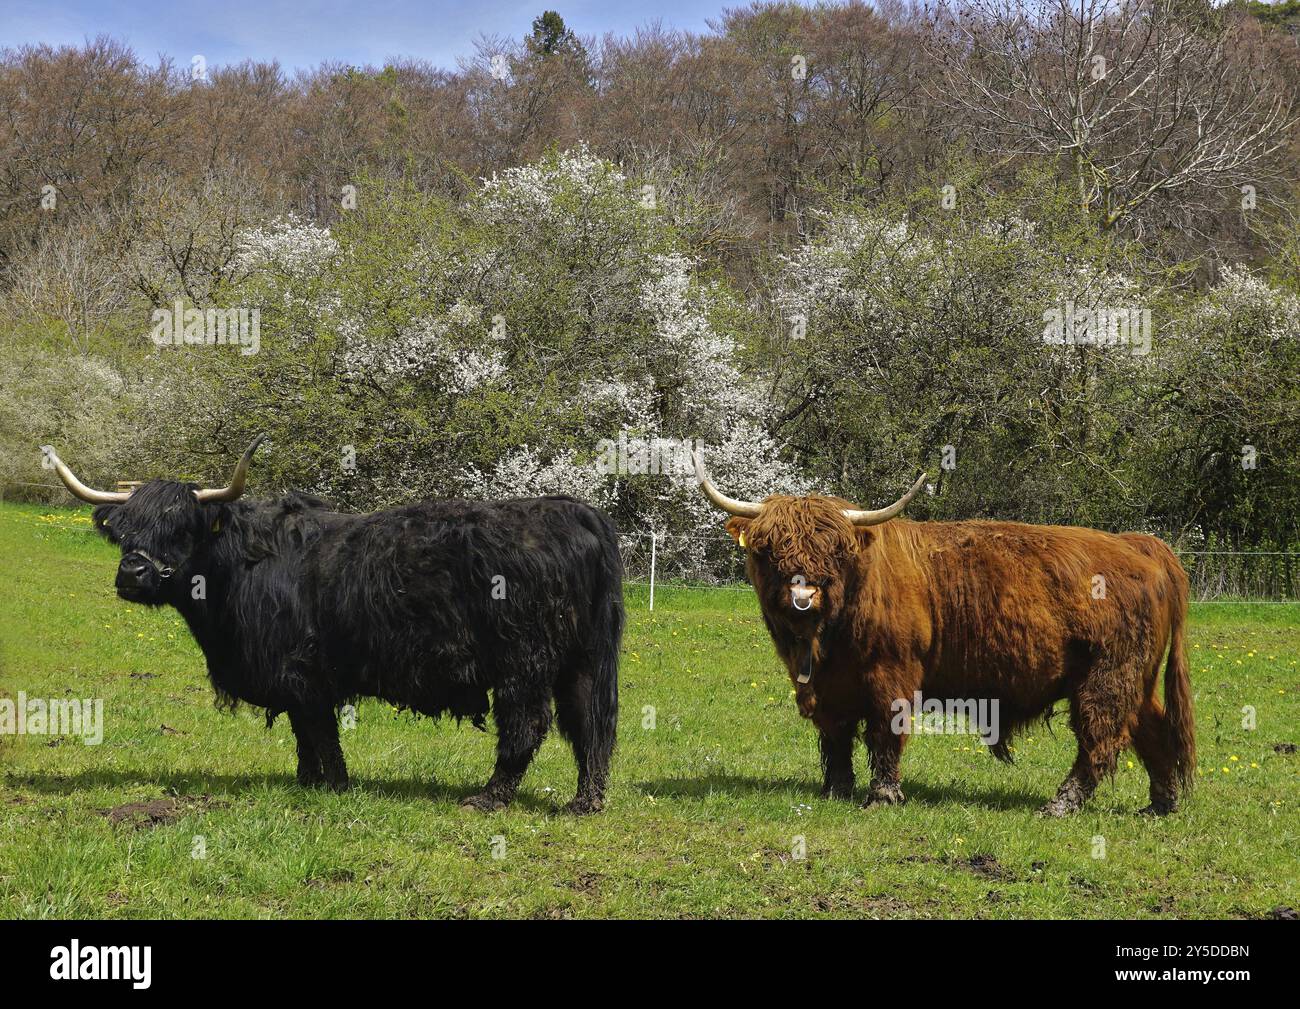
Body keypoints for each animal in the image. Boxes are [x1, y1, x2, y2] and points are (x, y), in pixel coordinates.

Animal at [42, 437, 623, 814]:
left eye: (182, 529)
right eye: (124, 531)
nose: (133, 573)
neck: (240, 570)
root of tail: (575, 512)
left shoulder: (302, 672)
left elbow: (320, 733)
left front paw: (336, 786)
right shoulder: (296, 681)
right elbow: (305, 734)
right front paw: (306, 783)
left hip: (523, 664)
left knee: (529, 725)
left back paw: (487, 797)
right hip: (582, 659)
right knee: (589, 723)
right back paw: (584, 802)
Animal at [694, 452, 1195, 816]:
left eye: (834, 550)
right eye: (768, 548)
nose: (803, 594)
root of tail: (1138, 544)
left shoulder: (891, 674)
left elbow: (885, 732)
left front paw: (883, 796)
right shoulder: (828, 687)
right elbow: (836, 738)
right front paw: (836, 790)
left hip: (1106, 677)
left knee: (1101, 737)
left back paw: (1061, 804)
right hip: (1135, 679)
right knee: (1152, 729)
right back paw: (1160, 804)